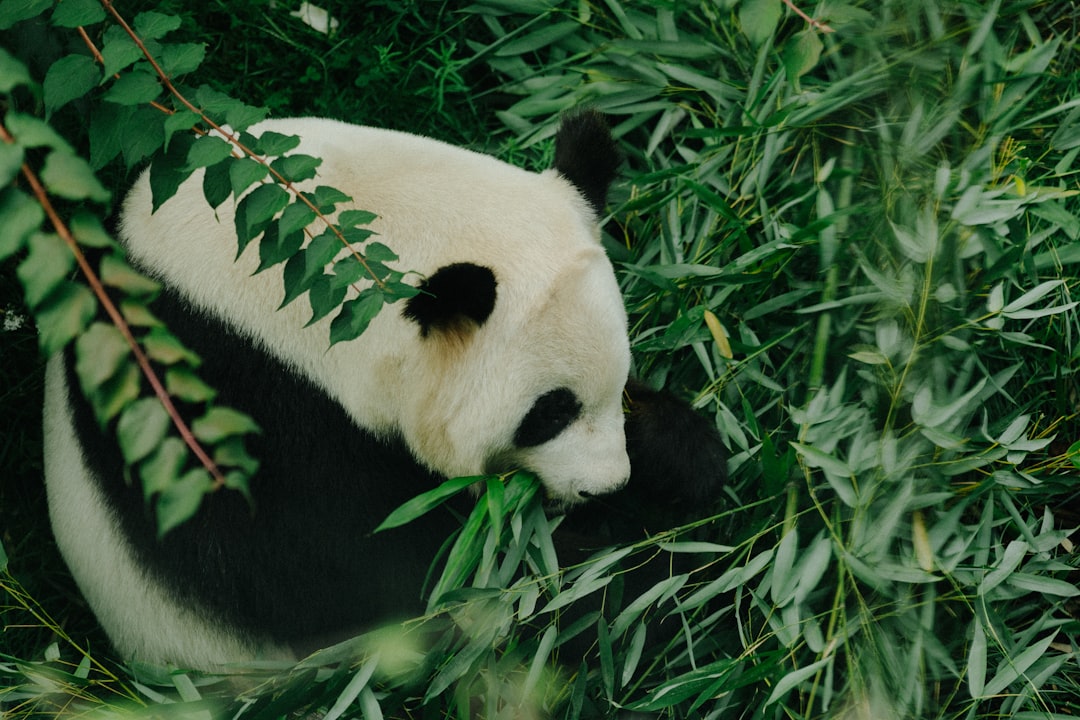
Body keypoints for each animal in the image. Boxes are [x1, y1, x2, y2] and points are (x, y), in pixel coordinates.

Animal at [42, 112, 725, 671]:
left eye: (618, 372)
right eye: (549, 413)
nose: (605, 486)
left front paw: (676, 458)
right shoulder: (233, 413)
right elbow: (382, 581)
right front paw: (620, 564)